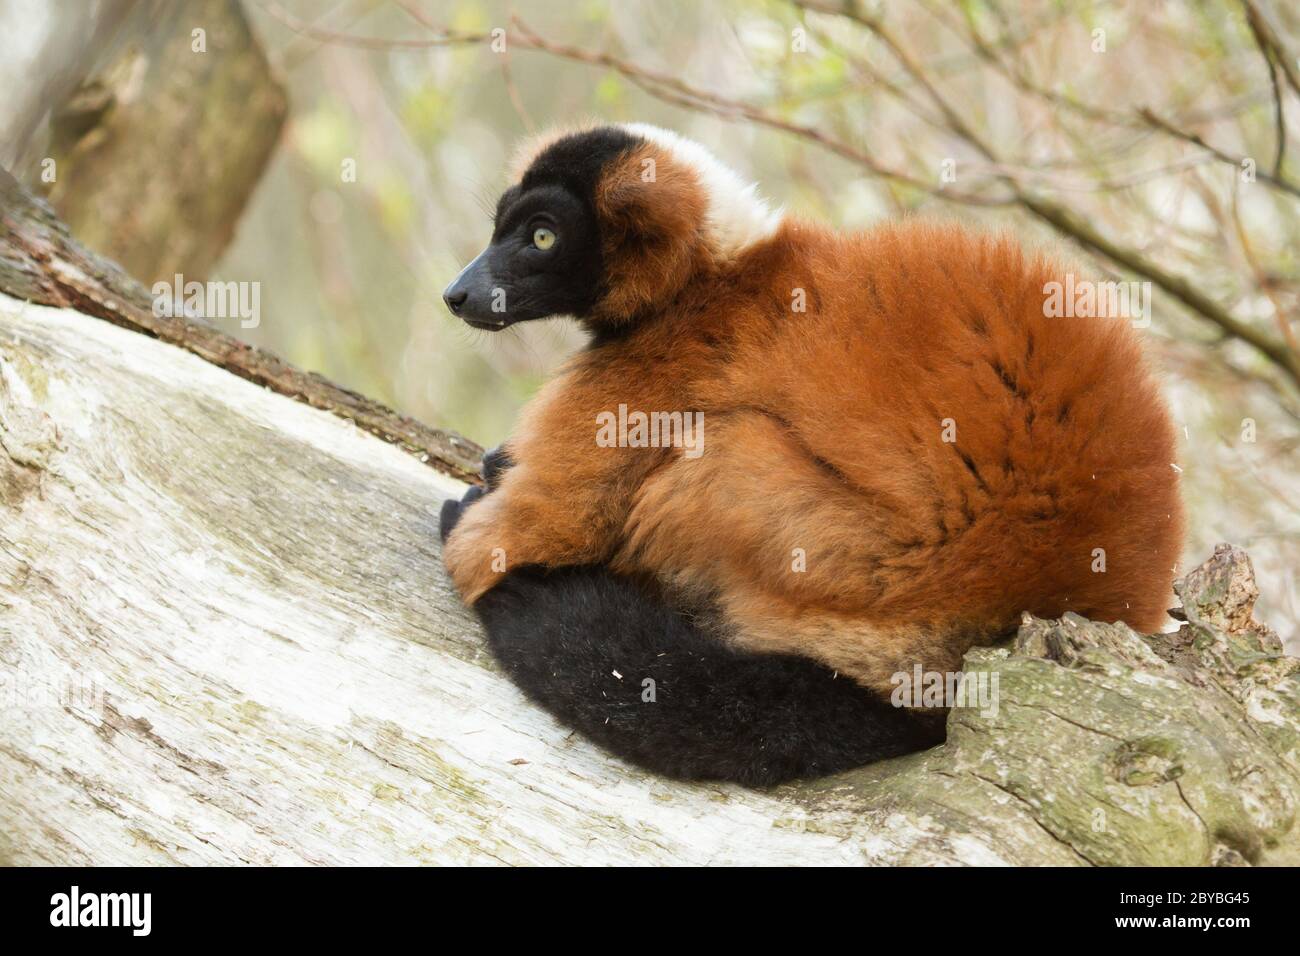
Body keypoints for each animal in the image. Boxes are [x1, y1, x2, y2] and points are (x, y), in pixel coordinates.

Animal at [438, 122, 1184, 786]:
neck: (716, 277)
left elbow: (520, 541)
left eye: (541, 237)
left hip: (846, 561)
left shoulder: (662, 365)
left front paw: (484, 519)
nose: (458, 293)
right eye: (501, 229)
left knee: (719, 453)